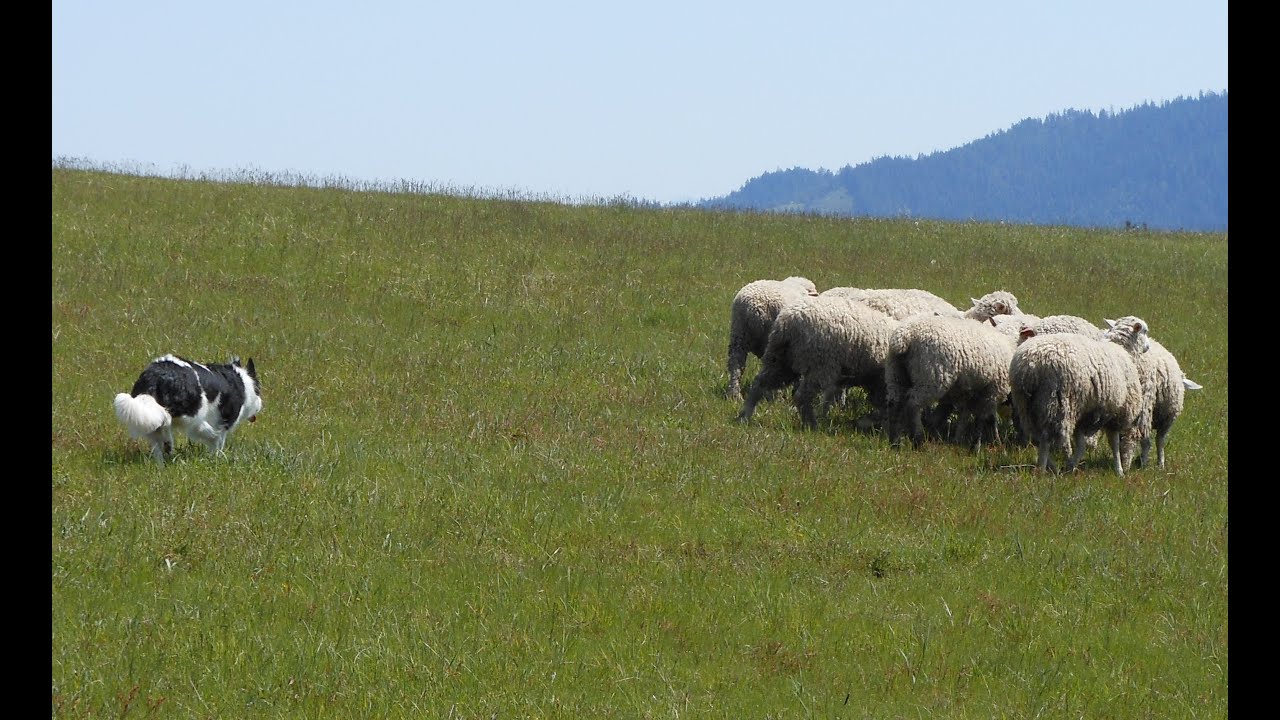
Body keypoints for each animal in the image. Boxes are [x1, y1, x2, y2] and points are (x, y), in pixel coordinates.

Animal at [736, 293, 898, 430]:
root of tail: (787, 322)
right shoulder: (882, 382)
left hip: (780, 360)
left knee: (759, 384)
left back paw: (745, 416)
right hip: (820, 365)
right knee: (802, 396)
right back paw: (812, 425)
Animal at [884, 313, 1019, 449]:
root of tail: (905, 335)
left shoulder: (970, 391)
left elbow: (965, 416)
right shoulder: (992, 390)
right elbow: (985, 418)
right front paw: (979, 445)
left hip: (896, 373)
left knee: (894, 403)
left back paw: (895, 442)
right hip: (932, 377)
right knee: (912, 404)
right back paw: (918, 439)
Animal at [1009, 316, 1151, 475]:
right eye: (1145, 331)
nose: (1148, 347)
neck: (1122, 349)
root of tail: (1030, 365)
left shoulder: (1085, 413)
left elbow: (1082, 444)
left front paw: (1072, 464)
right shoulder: (1118, 412)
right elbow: (1114, 443)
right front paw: (1119, 470)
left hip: (1026, 404)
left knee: (1036, 436)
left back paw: (1053, 466)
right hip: (1056, 401)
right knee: (1047, 438)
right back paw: (1043, 469)